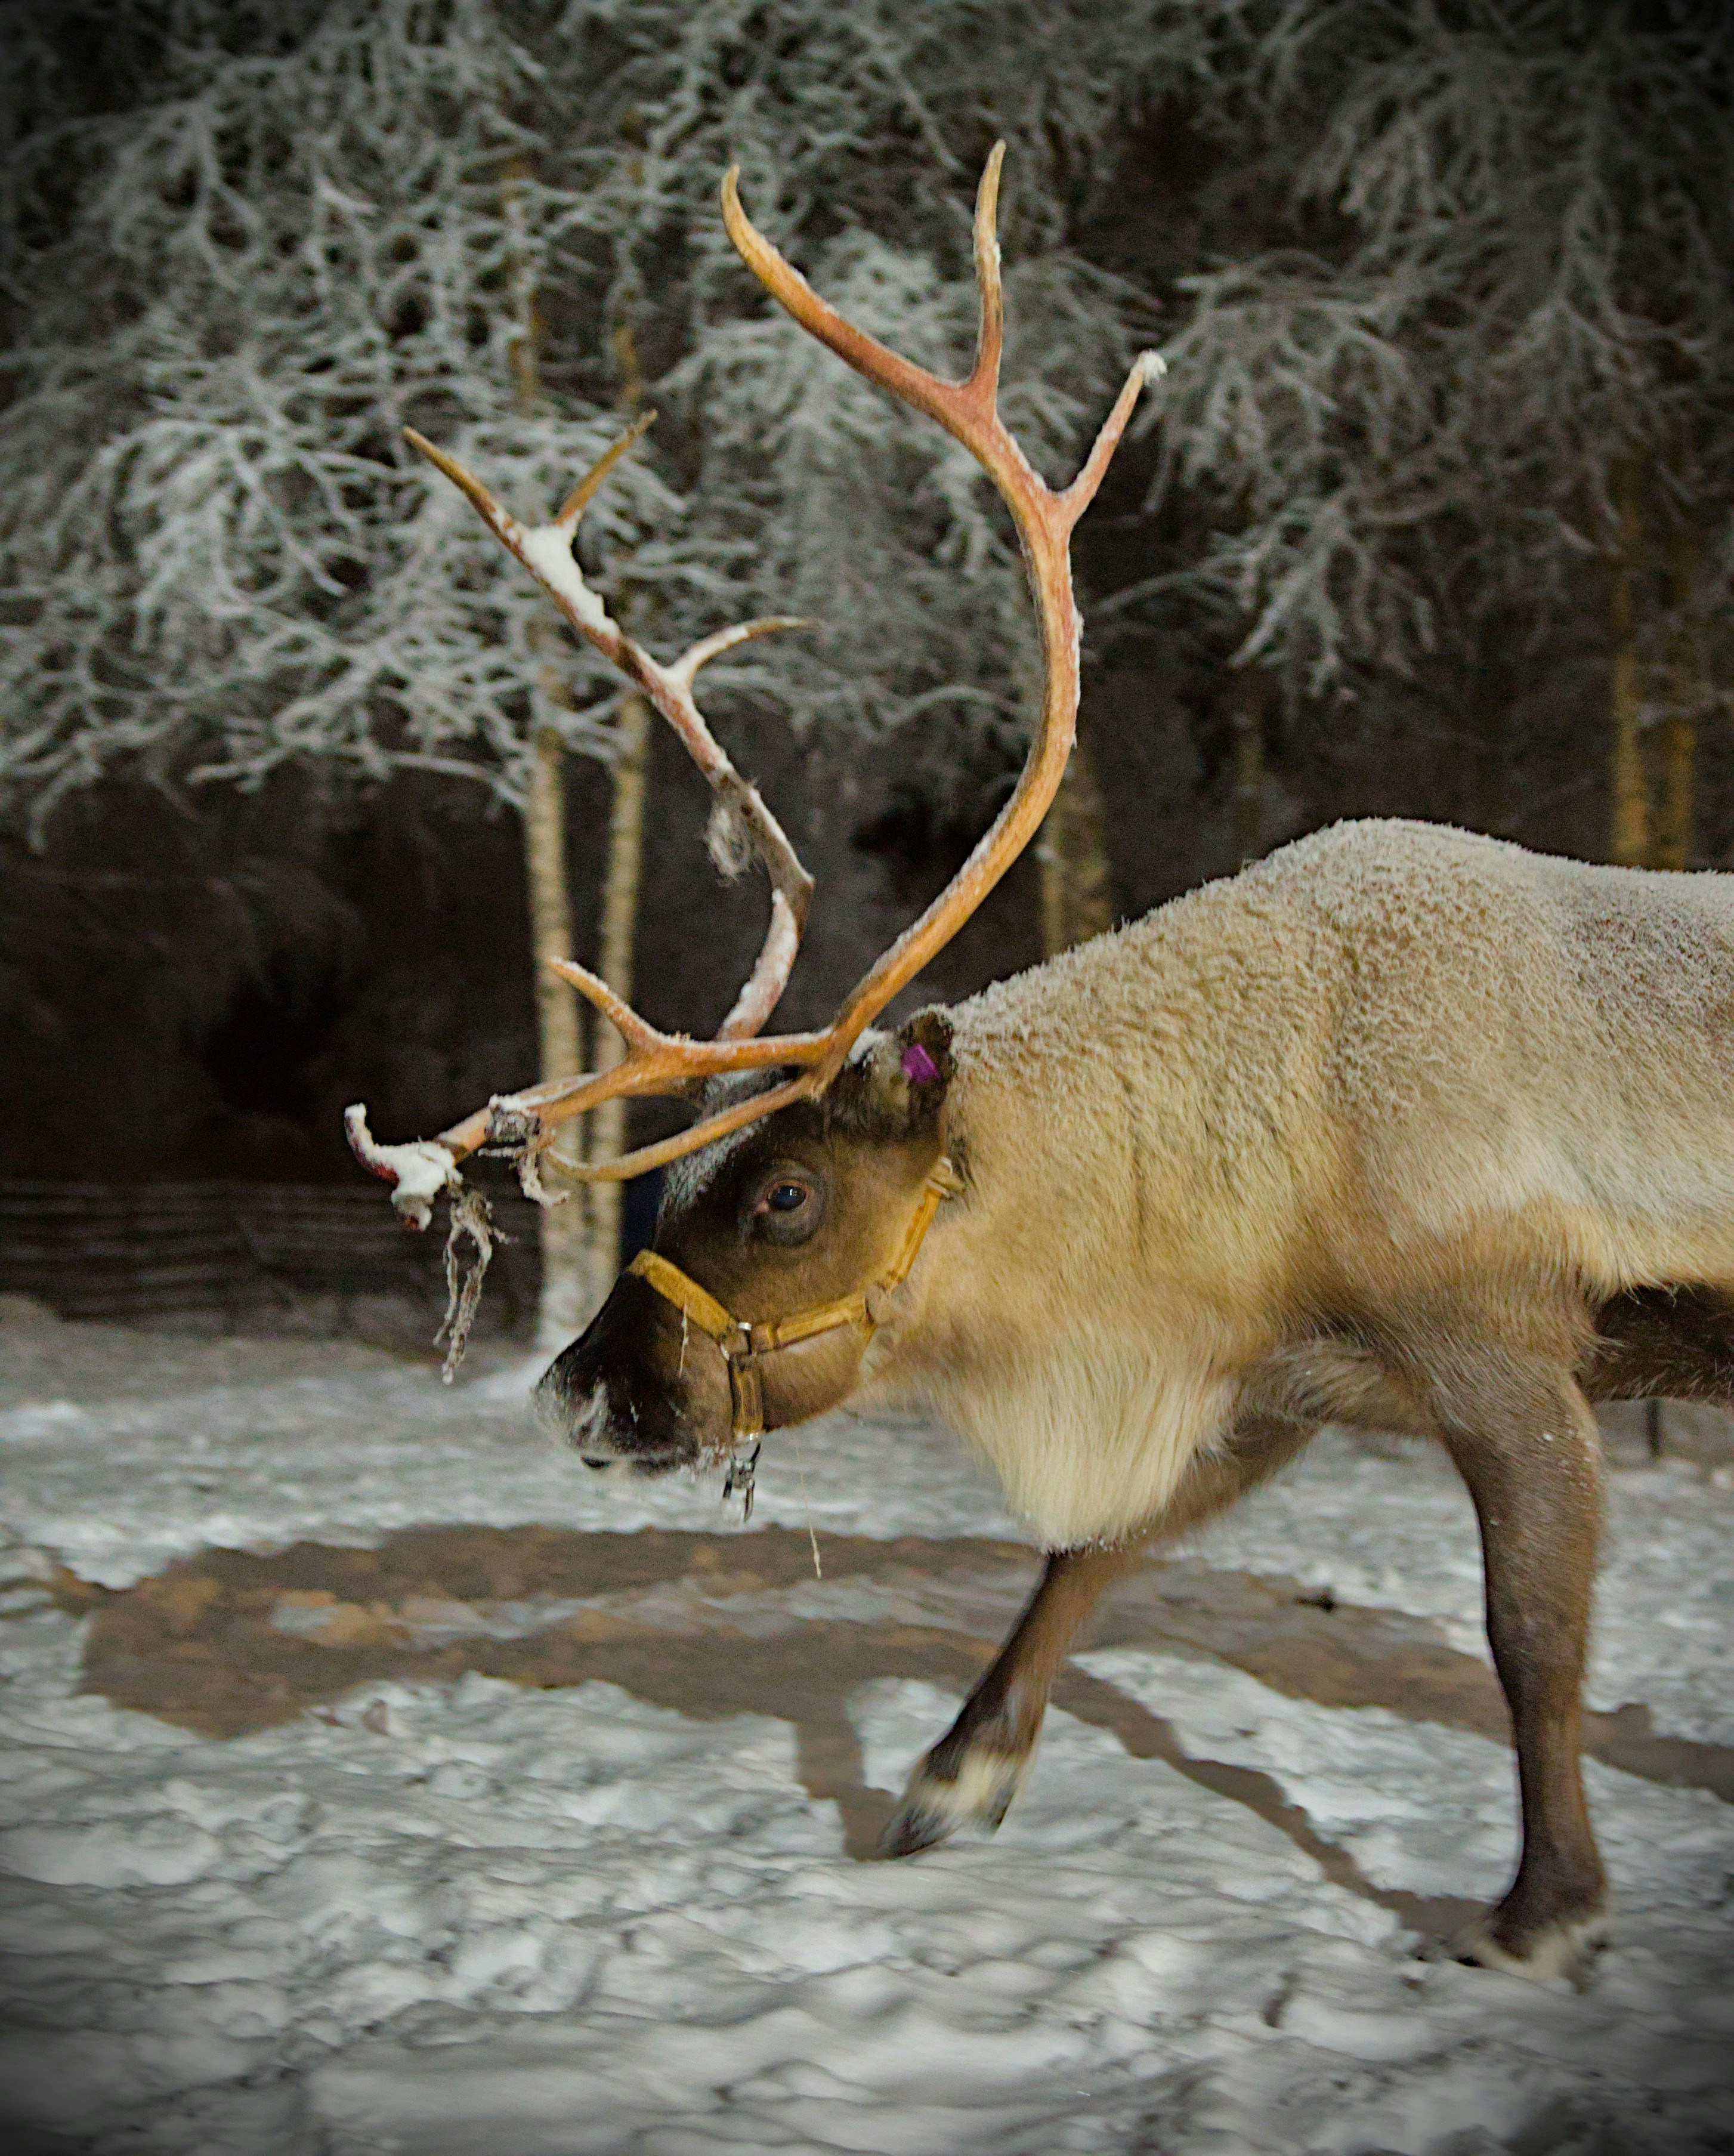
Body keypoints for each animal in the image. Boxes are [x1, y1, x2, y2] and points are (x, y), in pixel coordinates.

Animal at [348, 147, 1734, 1989]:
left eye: (784, 1191)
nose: (578, 1386)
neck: (1263, 1141)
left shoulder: (1512, 1350)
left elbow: (1530, 1629)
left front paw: (1543, 1908)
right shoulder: (1277, 1374)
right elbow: (1088, 1543)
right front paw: (950, 1777)